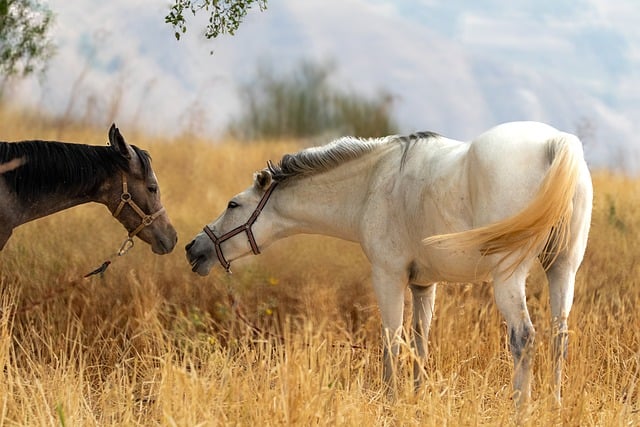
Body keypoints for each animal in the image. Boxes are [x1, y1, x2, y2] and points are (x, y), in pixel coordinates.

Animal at [185, 121, 592, 405]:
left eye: (233, 204)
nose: (193, 248)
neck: (374, 183)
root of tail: (556, 143)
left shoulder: (388, 276)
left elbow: (391, 340)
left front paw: (390, 399)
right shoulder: (424, 284)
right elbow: (419, 341)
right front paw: (416, 396)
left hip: (508, 275)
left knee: (524, 337)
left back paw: (520, 406)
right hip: (562, 269)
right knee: (559, 335)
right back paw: (554, 404)